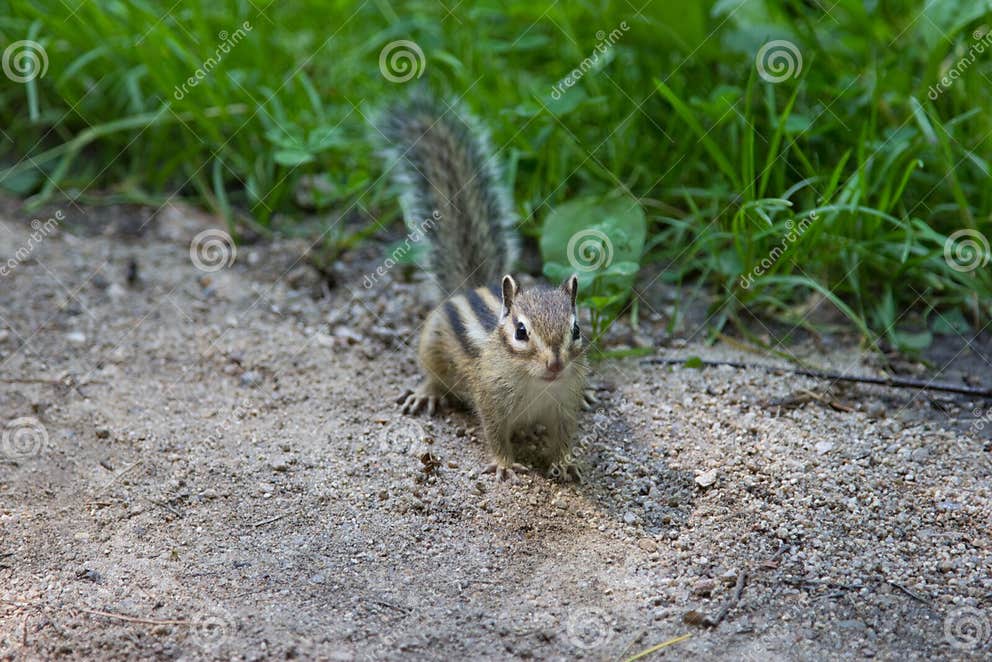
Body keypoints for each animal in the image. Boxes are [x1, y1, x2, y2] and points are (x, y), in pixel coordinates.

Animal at [377, 93, 594, 481]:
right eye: (521, 332)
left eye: (577, 329)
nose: (556, 364)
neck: (539, 384)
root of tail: (472, 285)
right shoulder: (489, 399)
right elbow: (494, 434)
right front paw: (505, 464)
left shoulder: (564, 406)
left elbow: (565, 435)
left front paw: (565, 462)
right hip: (431, 343)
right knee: (432, 372)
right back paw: (425, 392)